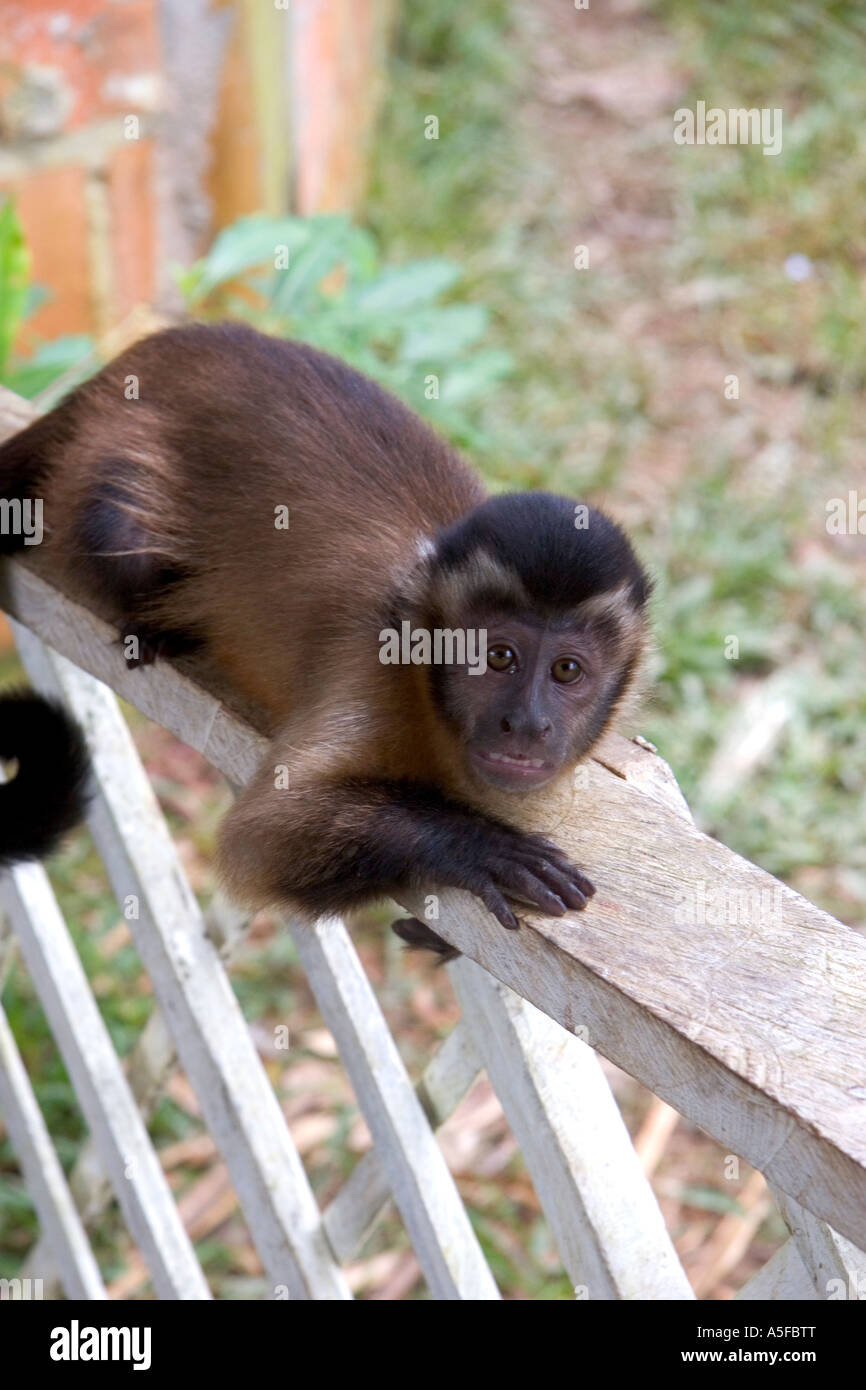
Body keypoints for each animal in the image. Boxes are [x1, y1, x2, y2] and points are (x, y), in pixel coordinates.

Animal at [0, 322, 651, 957]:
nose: (528, 723)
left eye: (567, 671)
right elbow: (261, 837)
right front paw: (478, 845)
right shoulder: (373, 667)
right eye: (499, 657)